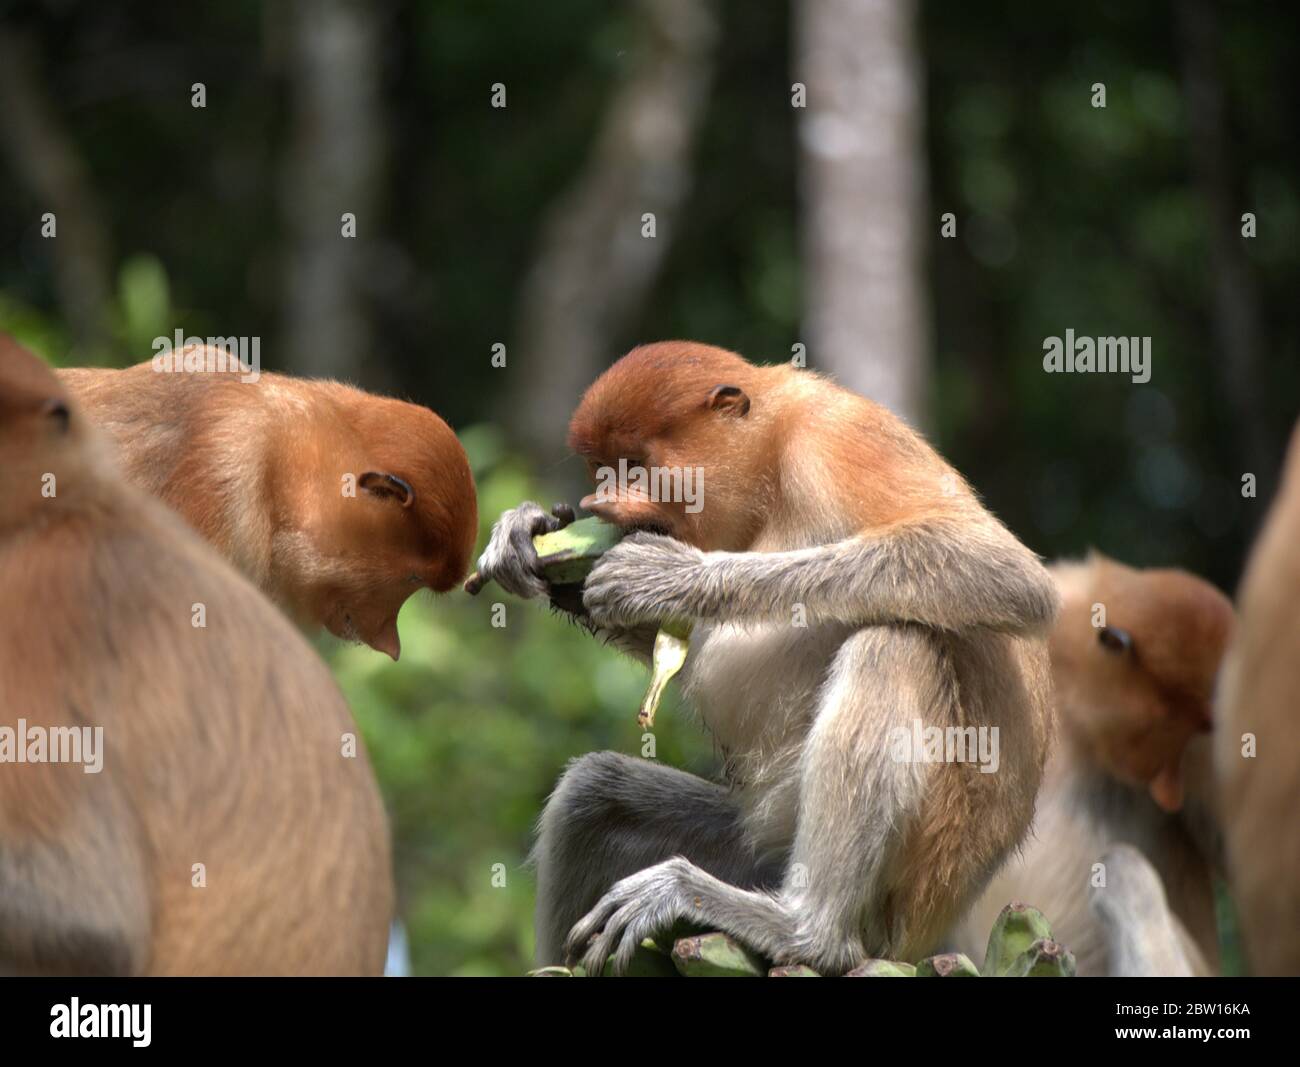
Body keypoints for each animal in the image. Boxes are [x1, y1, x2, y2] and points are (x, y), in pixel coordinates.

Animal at [474, 341, 1059, 975]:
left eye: (634, 465)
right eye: (598, 468)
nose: (593, 505)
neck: (770, 459)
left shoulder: (836, 440)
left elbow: (1003, 572)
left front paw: (666, 577)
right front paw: (523, 536)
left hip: (909, 890)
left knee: (894, 643)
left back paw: (801, 929)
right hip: (760, 848)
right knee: (593, 796)